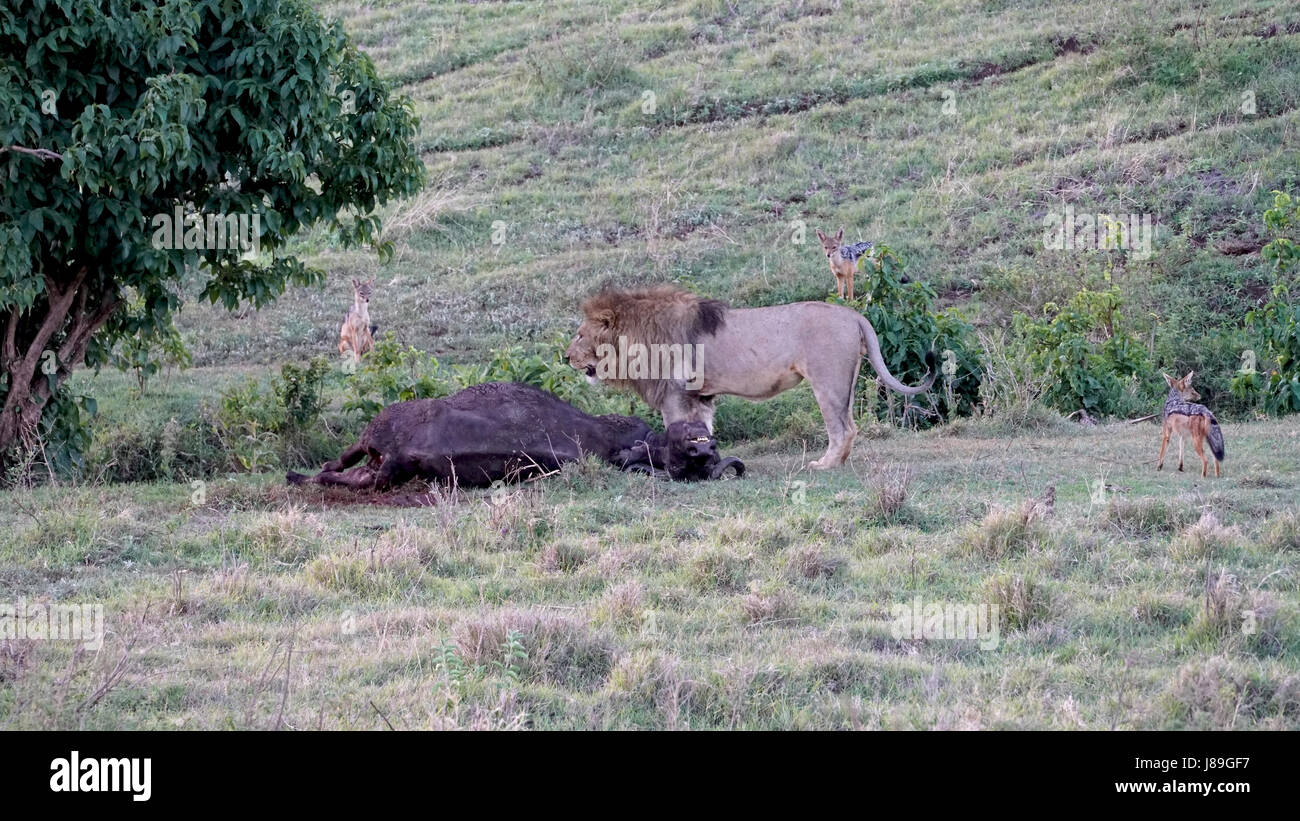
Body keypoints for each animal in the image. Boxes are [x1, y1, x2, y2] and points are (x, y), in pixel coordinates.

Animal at [564, 285, 935, 469]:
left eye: (580, 335)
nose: (565, 357)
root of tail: (854, 315)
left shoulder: (674, 394)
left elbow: (675, 430)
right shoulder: (700, 396)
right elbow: (703, 430)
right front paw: (707, 461)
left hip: (827, 381)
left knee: (841, 428)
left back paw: (825, 465)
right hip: (846, 381)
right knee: (852, 426)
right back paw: (839, 462)